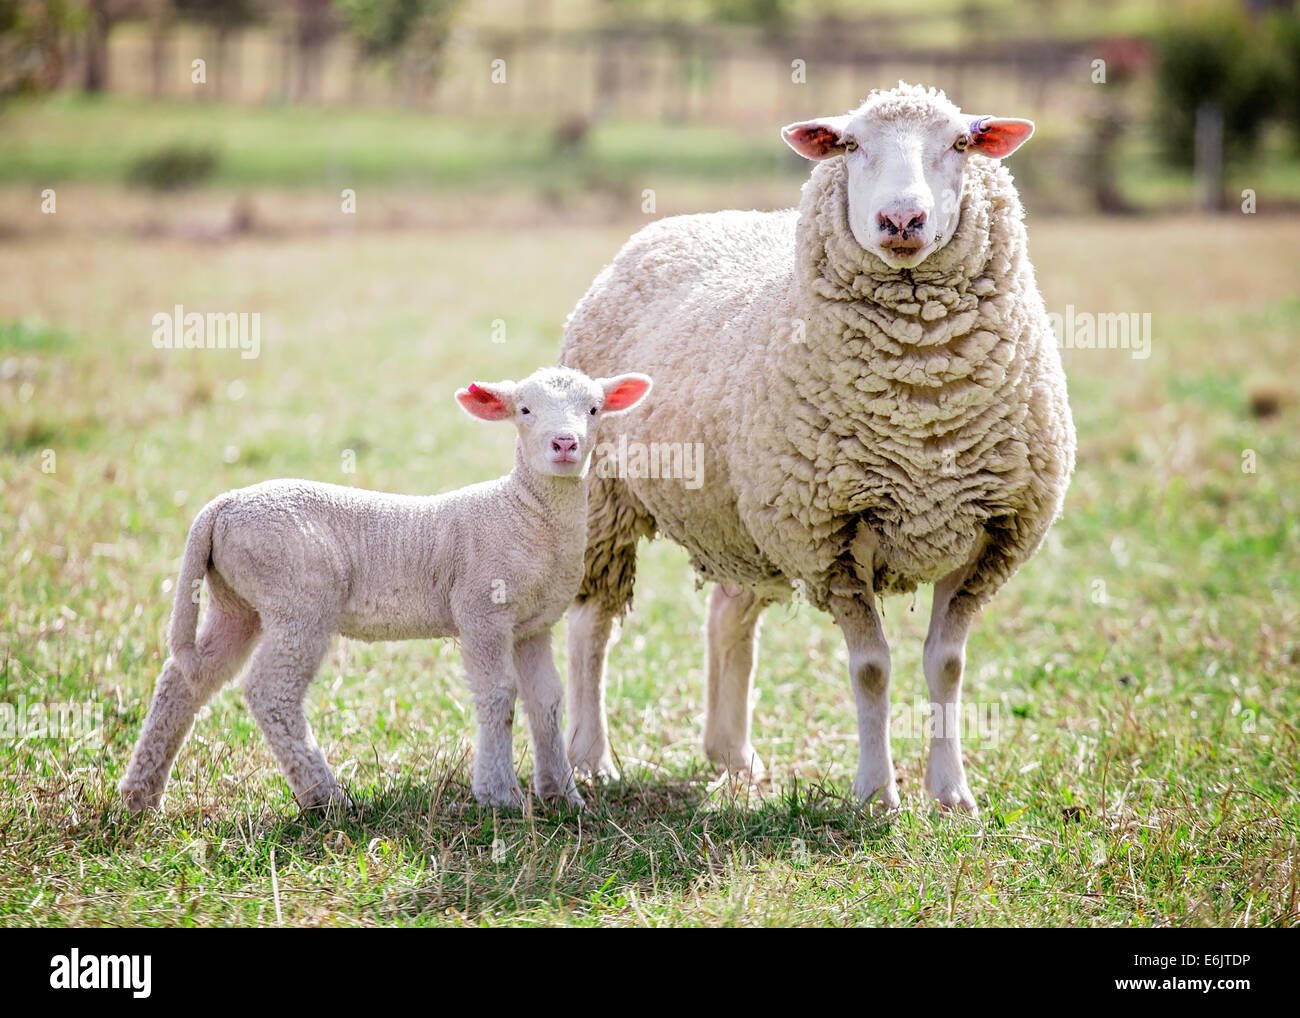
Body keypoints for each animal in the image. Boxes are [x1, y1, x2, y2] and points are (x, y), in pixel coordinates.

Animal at [120, 366, 652, 812]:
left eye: (594, 409)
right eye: (524, 410)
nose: (564, 444)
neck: (523, 513)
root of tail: (221, 507)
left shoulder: (532, 625)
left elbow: (546, 700)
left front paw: (563, 796)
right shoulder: (481, 609)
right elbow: (499, 694)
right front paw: (499, 796)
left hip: (238, 601)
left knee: (184, 680)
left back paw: (139, 797)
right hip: (298, 596)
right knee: (270, 691)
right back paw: (326, 797)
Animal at [559, 83, 1075, 814]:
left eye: (961, 143)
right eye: (851, 145)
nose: (900, 218)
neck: (922, 402)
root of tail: (673, 224)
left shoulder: (989, 537)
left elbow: (946, 666)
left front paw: (952, 795)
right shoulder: (830, 537)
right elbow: (873, 670)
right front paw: (876, 793)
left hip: (745, 518)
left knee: (728, 617)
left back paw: (734, 757)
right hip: (607, 497)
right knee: (592, 625)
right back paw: (591, 759)